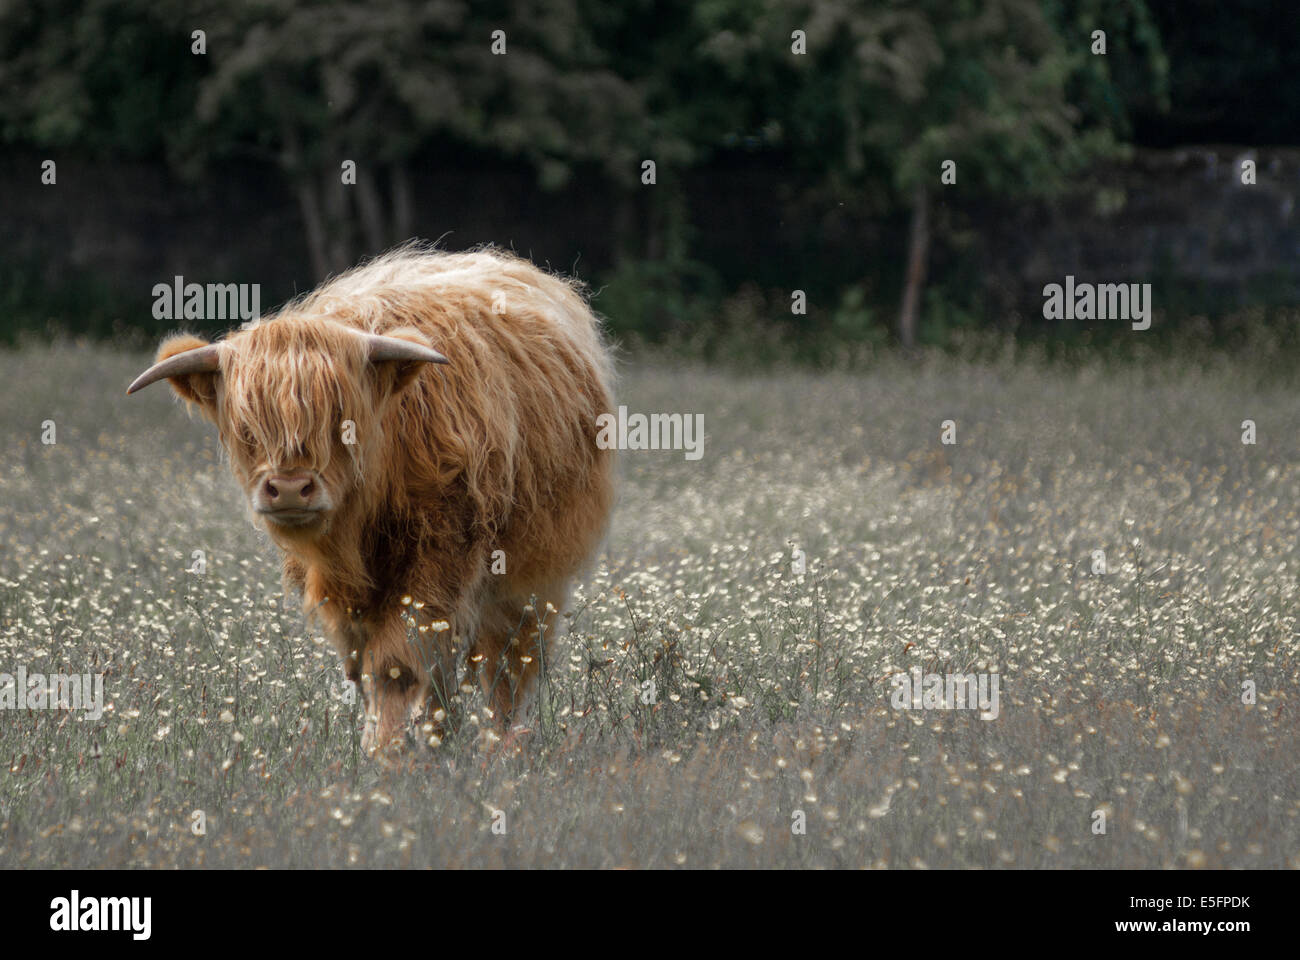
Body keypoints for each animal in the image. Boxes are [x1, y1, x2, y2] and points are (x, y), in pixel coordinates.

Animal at [128, 246, 617, 757]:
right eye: (247, 428)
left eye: (342, 422)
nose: (289, 488)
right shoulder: (339, 594)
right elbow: (368, 666)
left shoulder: (438, 560)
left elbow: (397, 663)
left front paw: (388, 753)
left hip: (531, 576)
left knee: (509, 661)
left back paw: (501, 745)